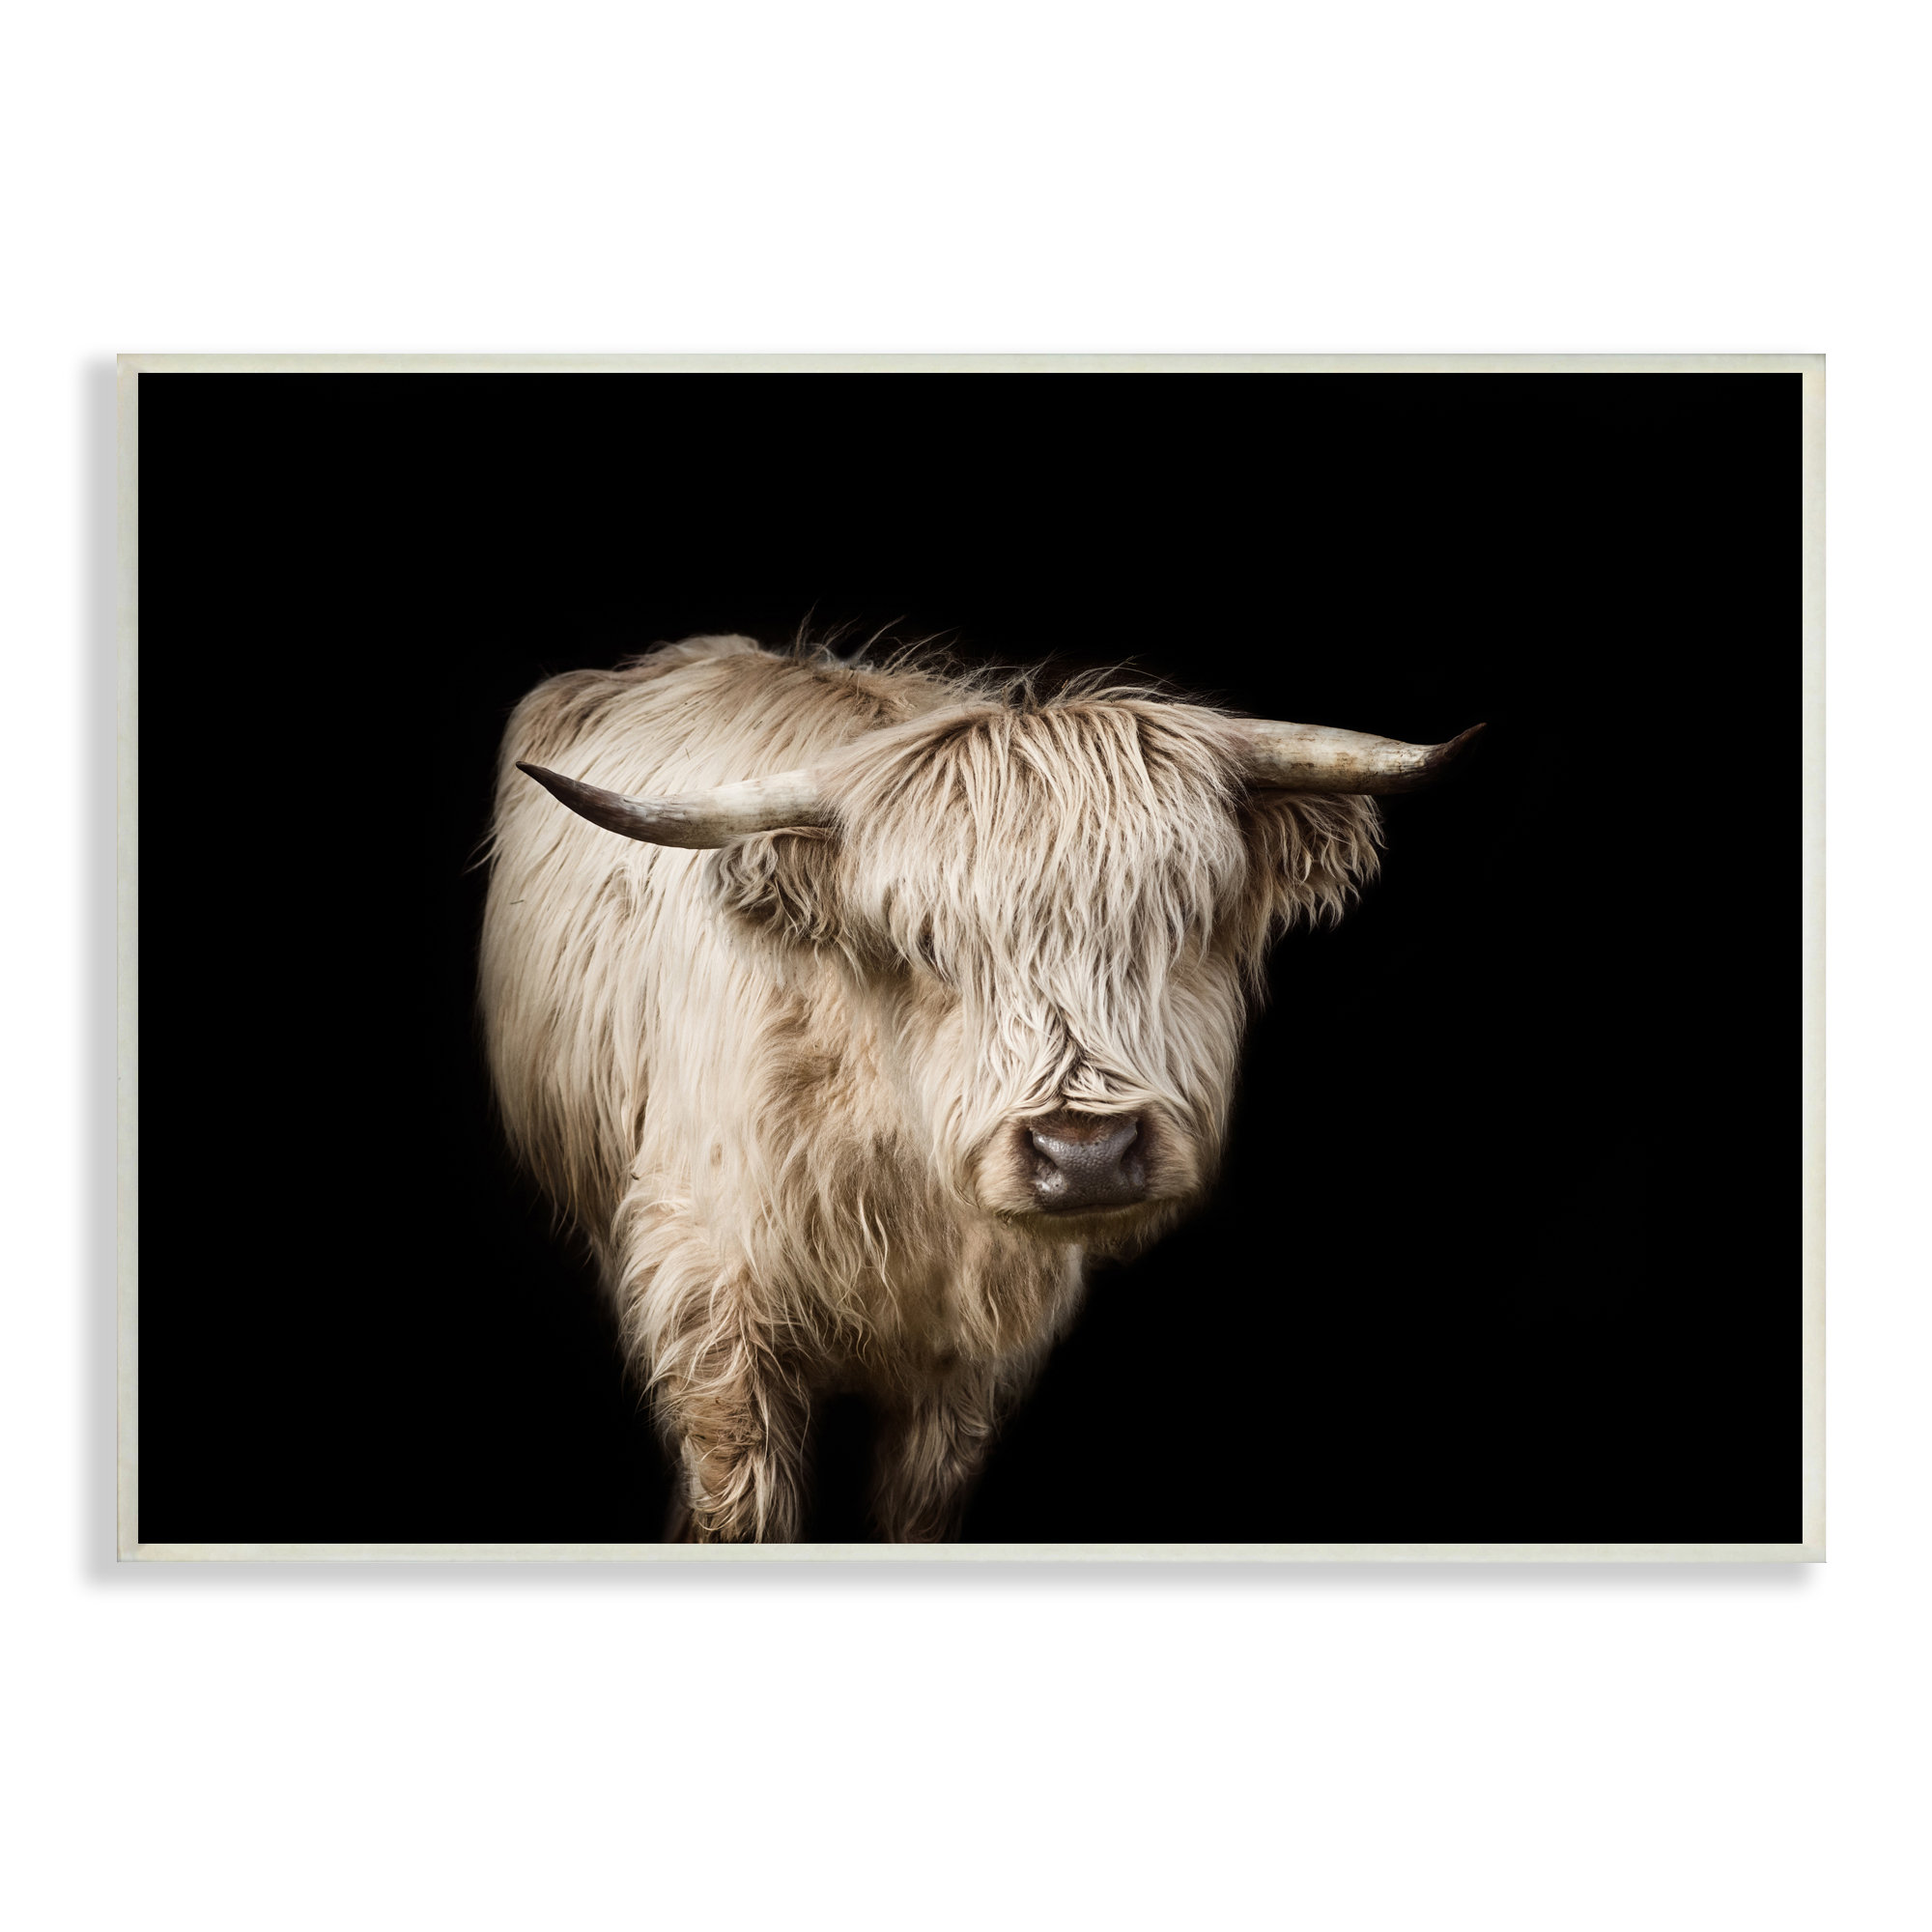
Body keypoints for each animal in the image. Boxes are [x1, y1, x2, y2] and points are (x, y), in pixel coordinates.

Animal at [480, 634, 1479, 1542]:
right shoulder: (709, 1307)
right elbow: (740, 1505)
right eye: (925, 944)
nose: (1085, 1156)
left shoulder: (970, 1363)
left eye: (1183, 921)